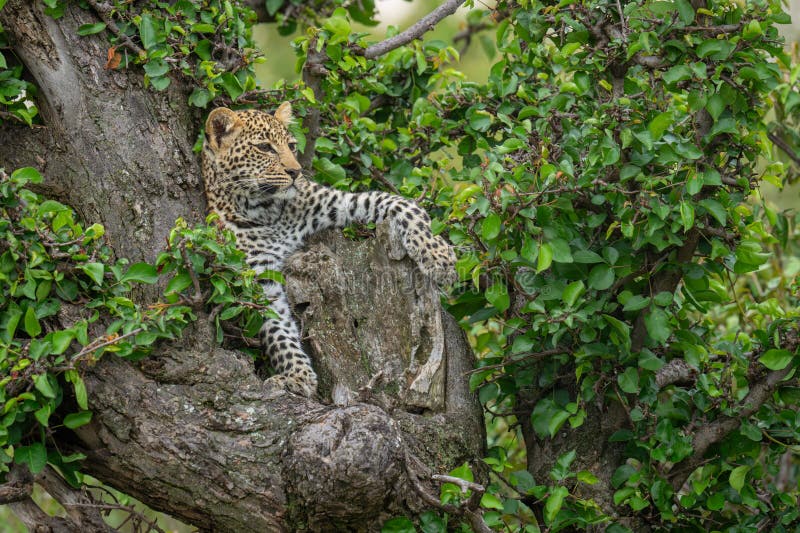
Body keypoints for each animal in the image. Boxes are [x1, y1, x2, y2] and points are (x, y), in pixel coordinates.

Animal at [201, 102, 457, 397]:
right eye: (264, 148)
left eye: (291, 145)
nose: (296, 172)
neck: (266, 209)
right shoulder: (260, 276)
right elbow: (277, 328)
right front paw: (297, 374)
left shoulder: (336, 201)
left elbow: (402, 204)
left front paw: (439, 256)